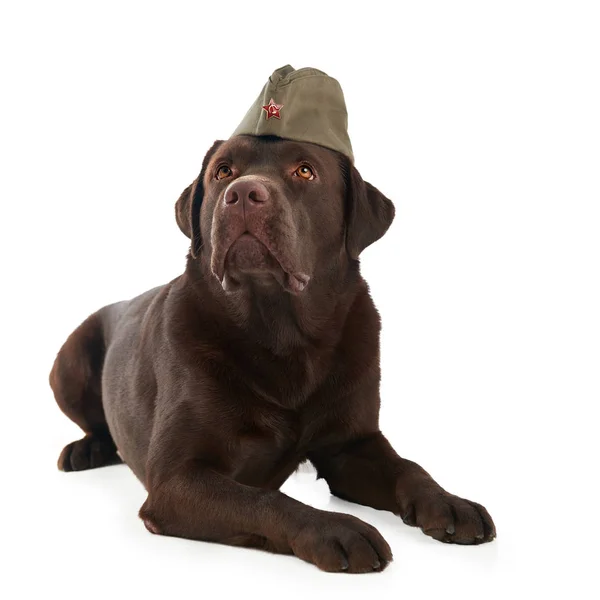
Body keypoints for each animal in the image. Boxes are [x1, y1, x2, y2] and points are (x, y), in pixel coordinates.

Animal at [49, 135, 494, 572]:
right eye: (223, 171)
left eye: (305, 170)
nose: (243, 193)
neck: (281, 333)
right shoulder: (175, 480)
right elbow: (262, 498)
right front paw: (339, 530)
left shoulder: (351, 444)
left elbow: (408, 468)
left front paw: (450, 503)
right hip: (67, 364)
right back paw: (86, 450)